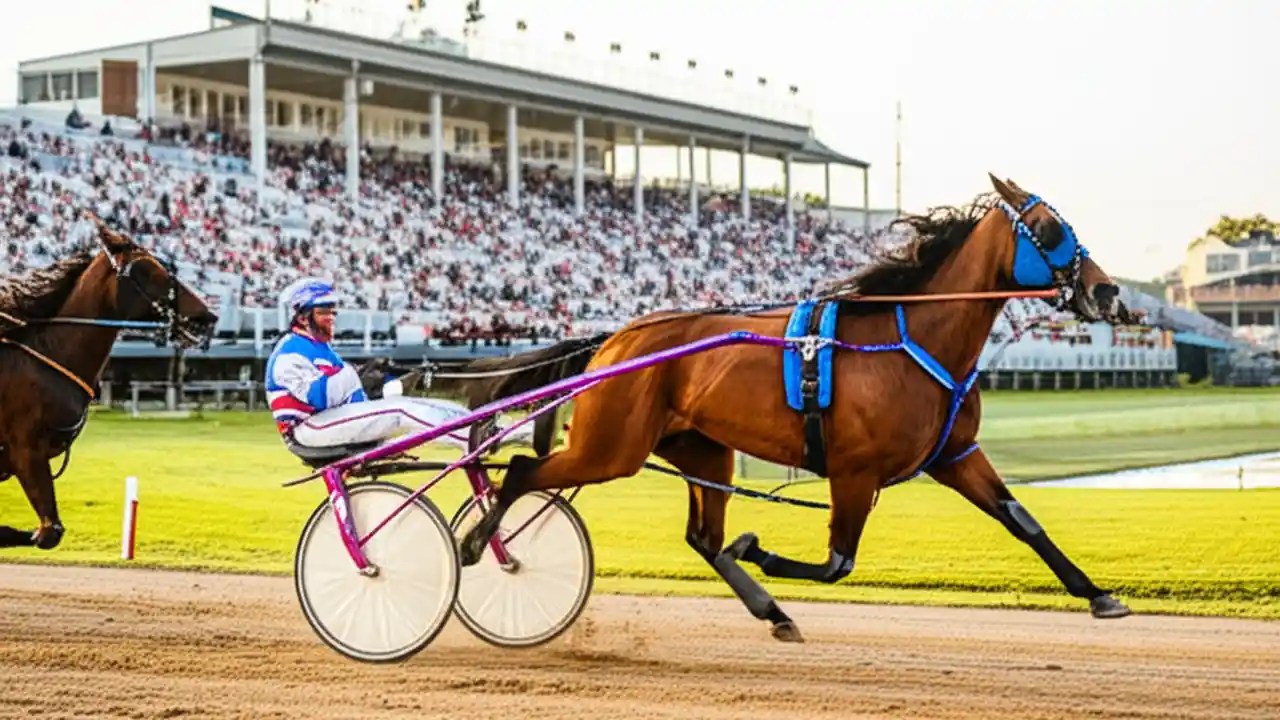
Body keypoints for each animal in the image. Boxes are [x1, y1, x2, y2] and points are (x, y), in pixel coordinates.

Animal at [453, 174, 1136, 641]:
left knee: (702, 536)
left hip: (700, 448)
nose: (1107, 291)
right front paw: (758, 548)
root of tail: (615, 339)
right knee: (522, 472)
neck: (914, 337)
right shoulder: (854, 471)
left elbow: (1023, 522)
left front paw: (1098, 594)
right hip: (610, 446)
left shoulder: (955, 454)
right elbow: (836, 564)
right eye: (1051, 229)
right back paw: (477, 541)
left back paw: (771, 609)